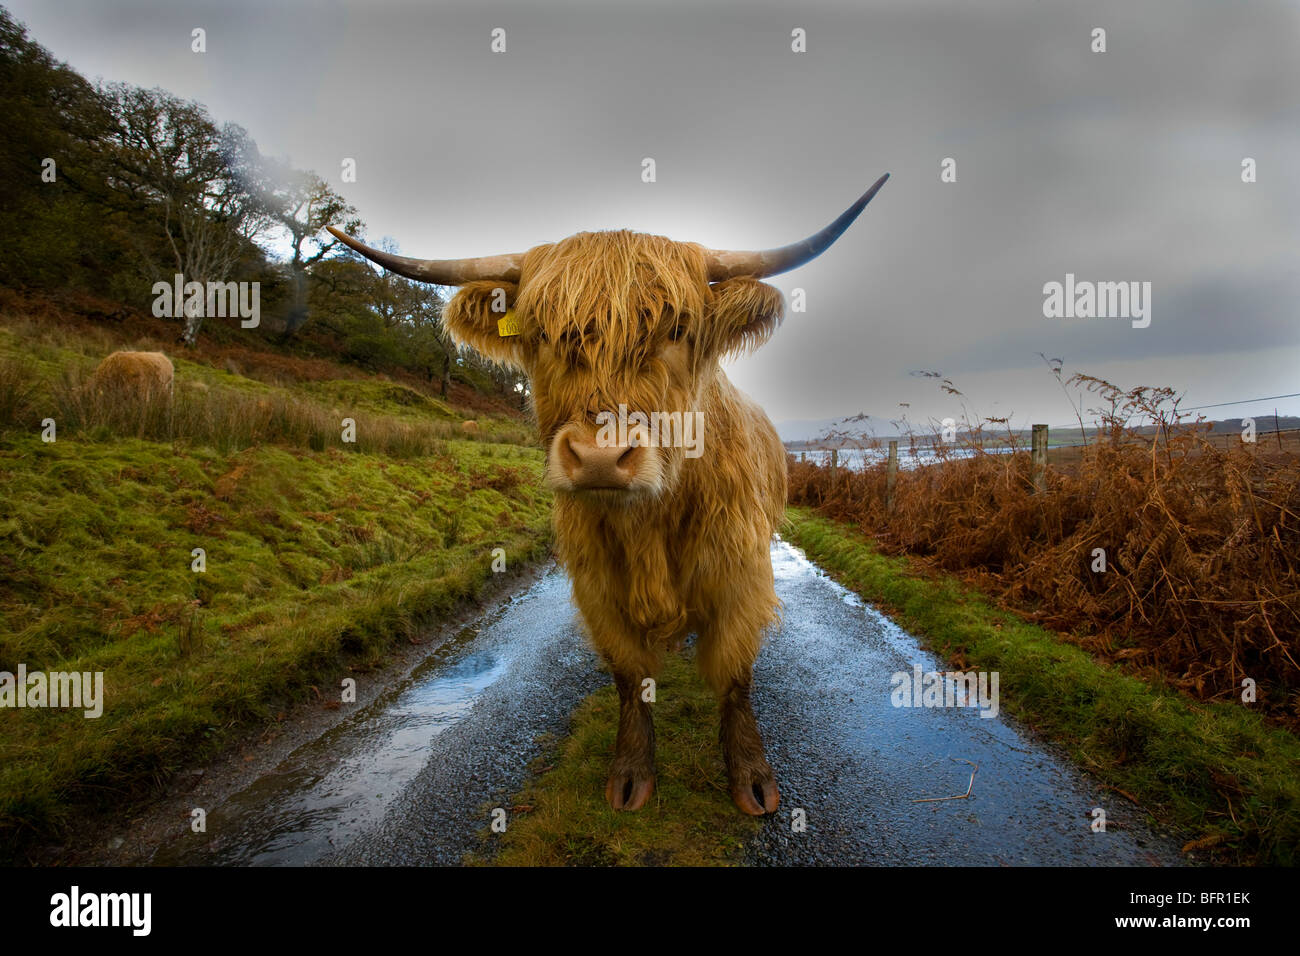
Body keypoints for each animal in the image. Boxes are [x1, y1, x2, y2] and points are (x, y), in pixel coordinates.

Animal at [328, 174, 888, 815]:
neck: (650, 521)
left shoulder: (739, 578)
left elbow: (734, 677)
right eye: (542, 334)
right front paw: (630, 773)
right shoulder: (599, 587)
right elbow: (627, 678)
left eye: (677, 330)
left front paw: (750, 777)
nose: (599, 456)